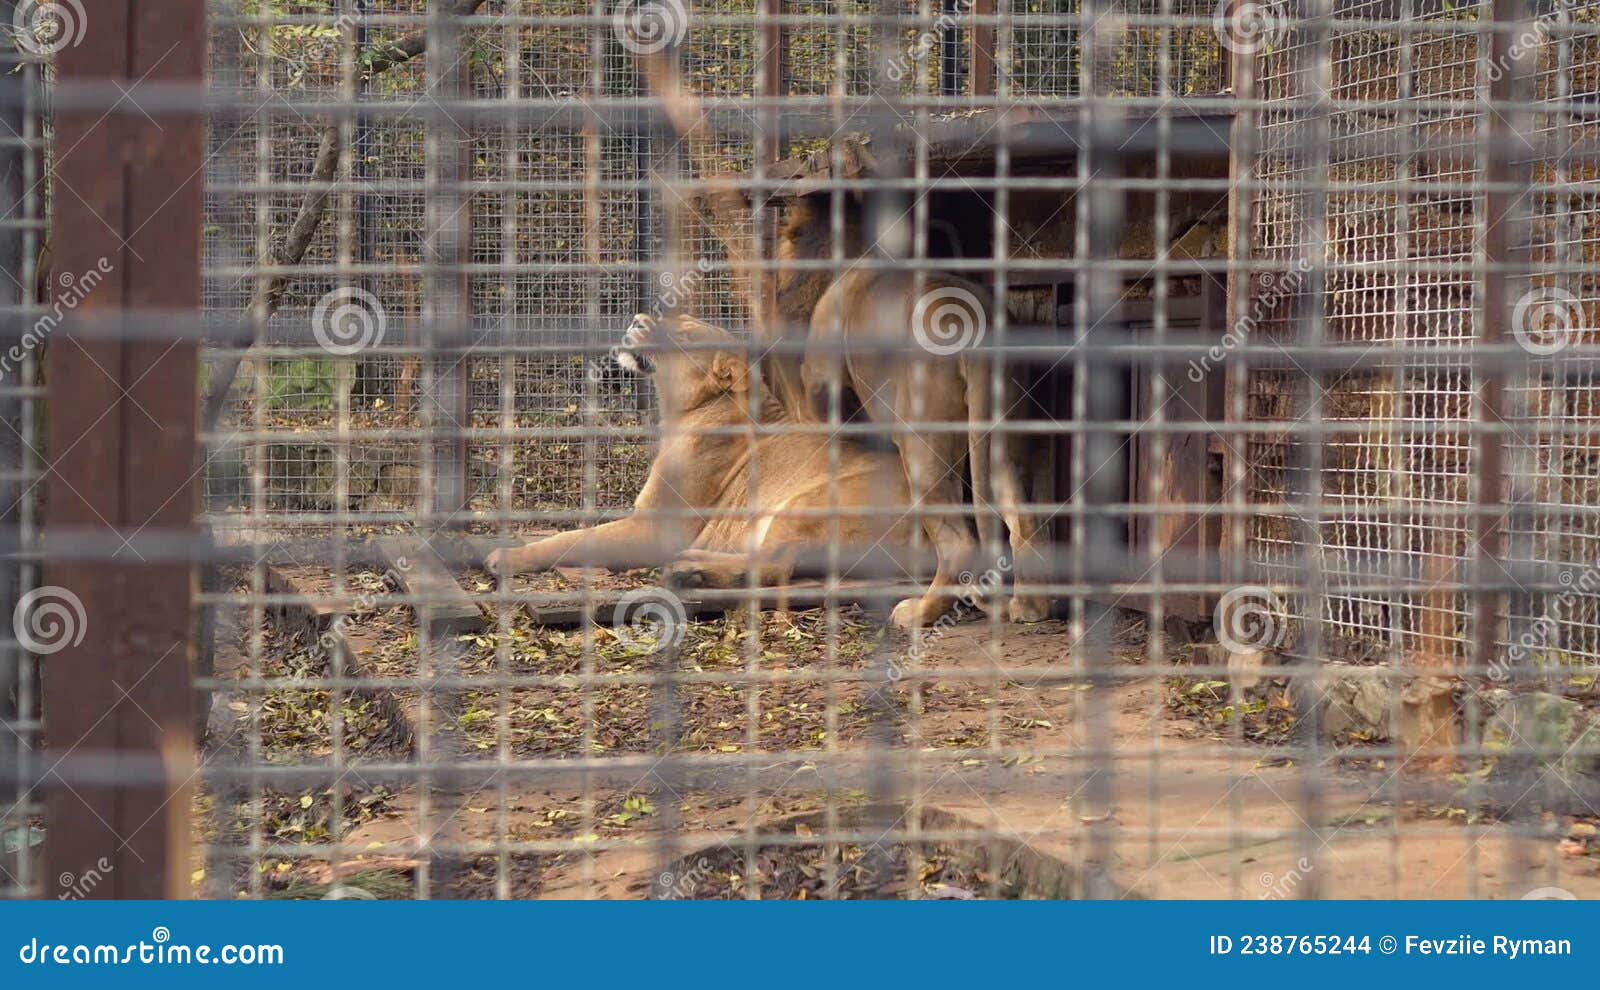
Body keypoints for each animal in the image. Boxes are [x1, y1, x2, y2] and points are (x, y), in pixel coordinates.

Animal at [485, 313, 915, 590]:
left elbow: (572, 540)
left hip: (810, 500)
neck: (680, 413)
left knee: (774, 568)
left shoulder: (657, 528)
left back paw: (689, 569)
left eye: (687, 335)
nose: (637, 320)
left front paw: (506, 557)